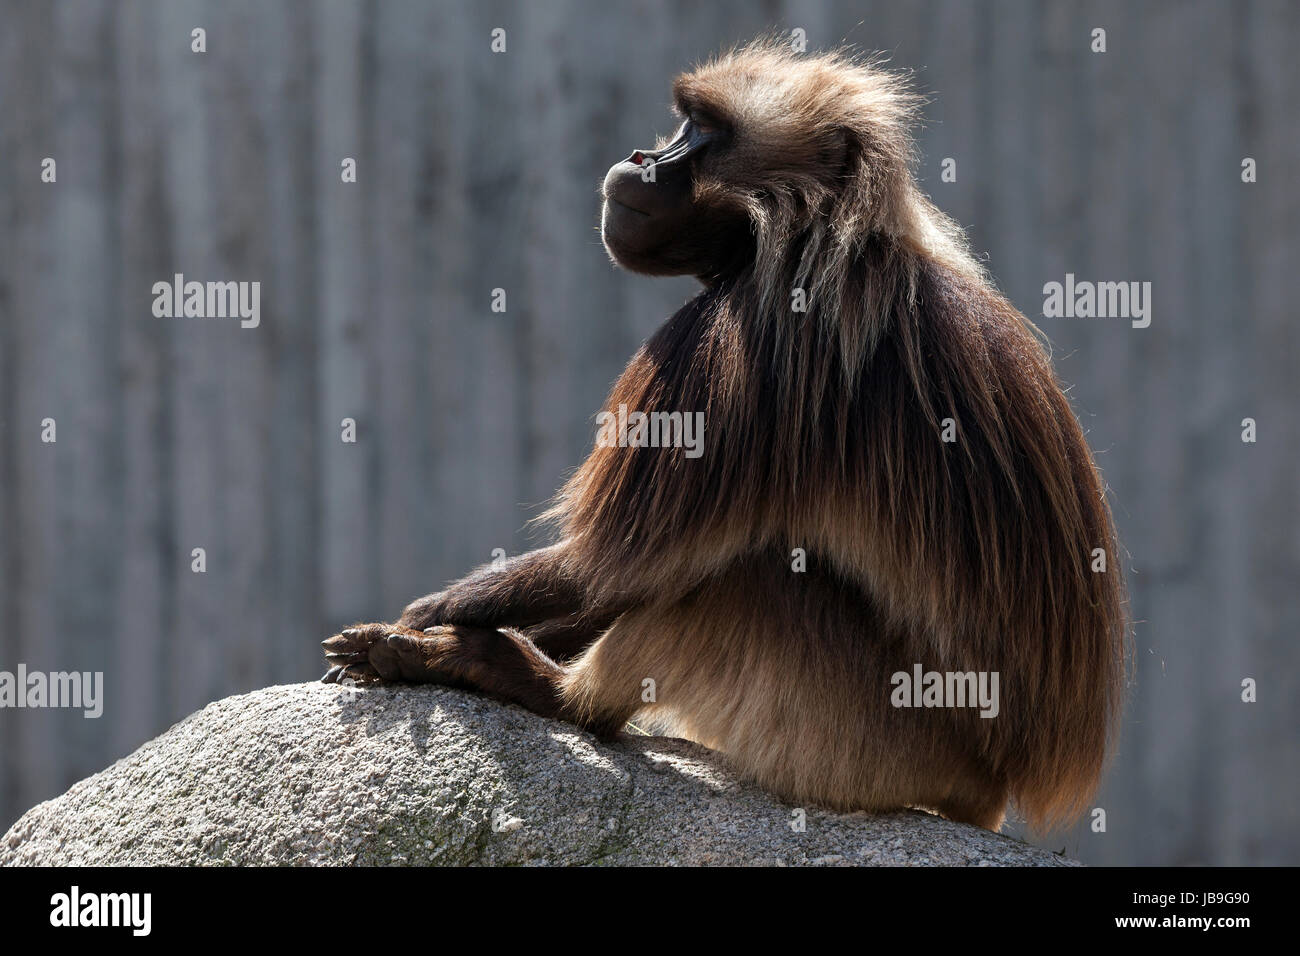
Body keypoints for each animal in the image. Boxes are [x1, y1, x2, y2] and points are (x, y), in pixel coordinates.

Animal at [321, 39, 1129, 833]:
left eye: (706, 131)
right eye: (683, 123)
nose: (642, 155)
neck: (814, 239)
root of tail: (994, 788)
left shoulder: (731, 344)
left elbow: (611, 560)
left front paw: (419, 622)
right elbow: (634, 572)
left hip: (881, 745)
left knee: (746, 581)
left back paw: (537, 687)